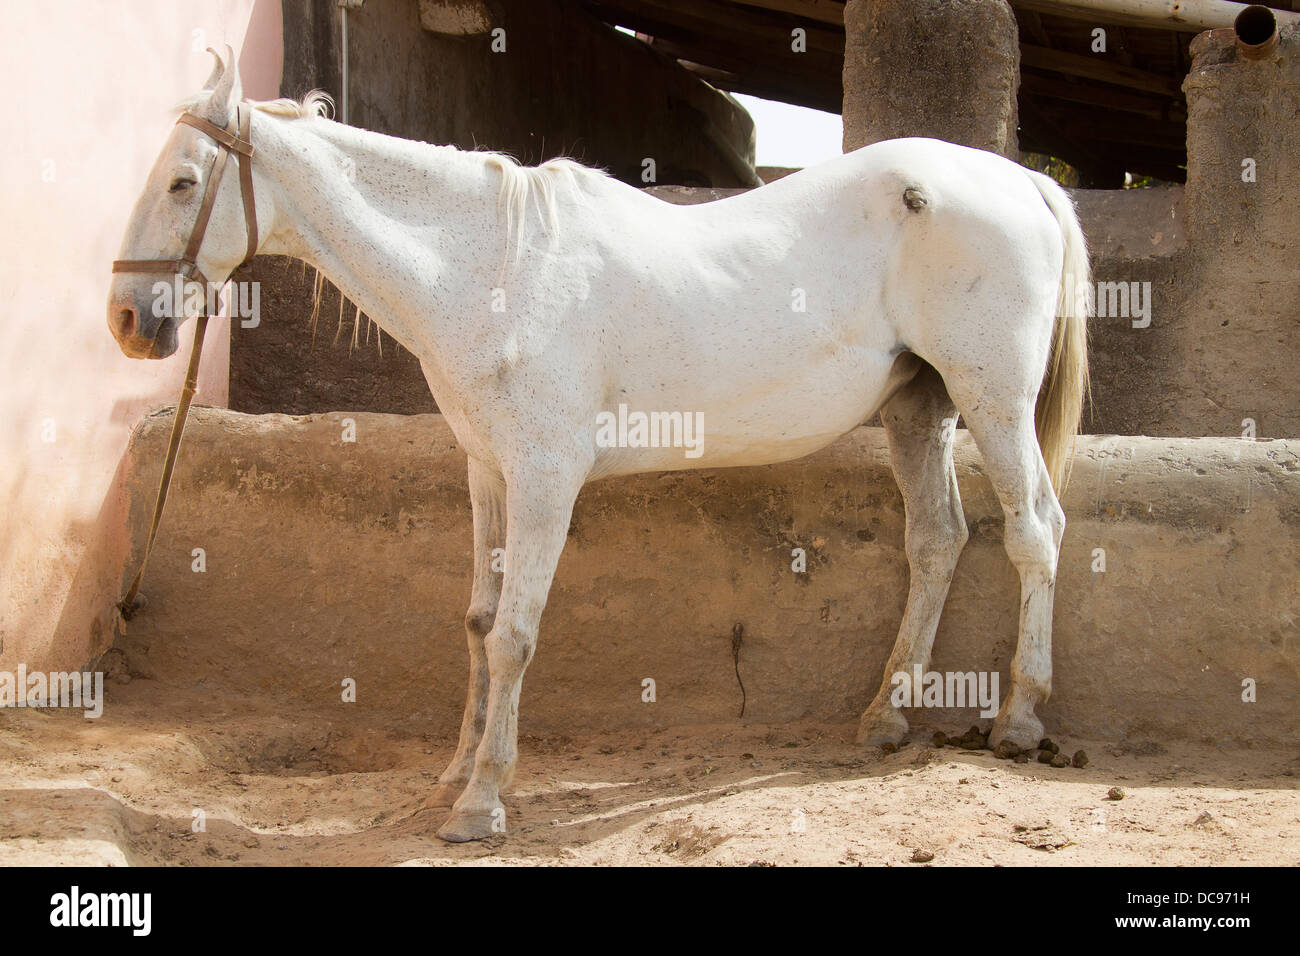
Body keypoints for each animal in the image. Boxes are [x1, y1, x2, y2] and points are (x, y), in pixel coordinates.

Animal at [108, 48, 1089, 843]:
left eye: (184, 183)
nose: (127, 320)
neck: (494, 270)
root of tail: (1023, 182)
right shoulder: (486, 470)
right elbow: (477, 621)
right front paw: (454, 776)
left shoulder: (545, 478)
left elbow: (515, 633)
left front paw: (482, 804)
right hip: (919, 408)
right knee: (937, 540)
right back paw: (886, 717)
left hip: (992, 400)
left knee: (1035, 531)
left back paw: (1021, 718)